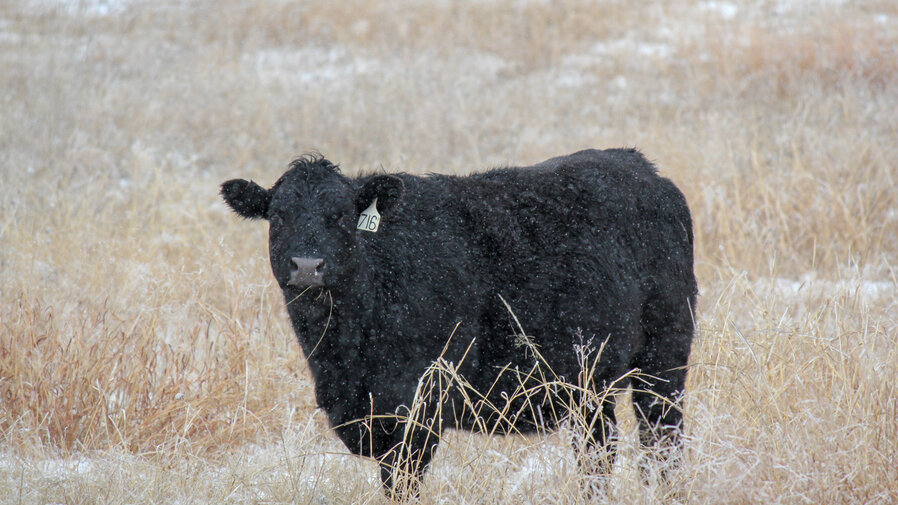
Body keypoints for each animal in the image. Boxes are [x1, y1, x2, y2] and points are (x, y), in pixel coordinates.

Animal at [220, 148, 697, 498]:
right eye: (278, 216)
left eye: (339, 216)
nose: (307, 265)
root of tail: (641, 166)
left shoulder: (417, 408)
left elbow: (402, 487)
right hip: (591, 381)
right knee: (599, 450)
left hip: (665, 357)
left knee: (661, 442)